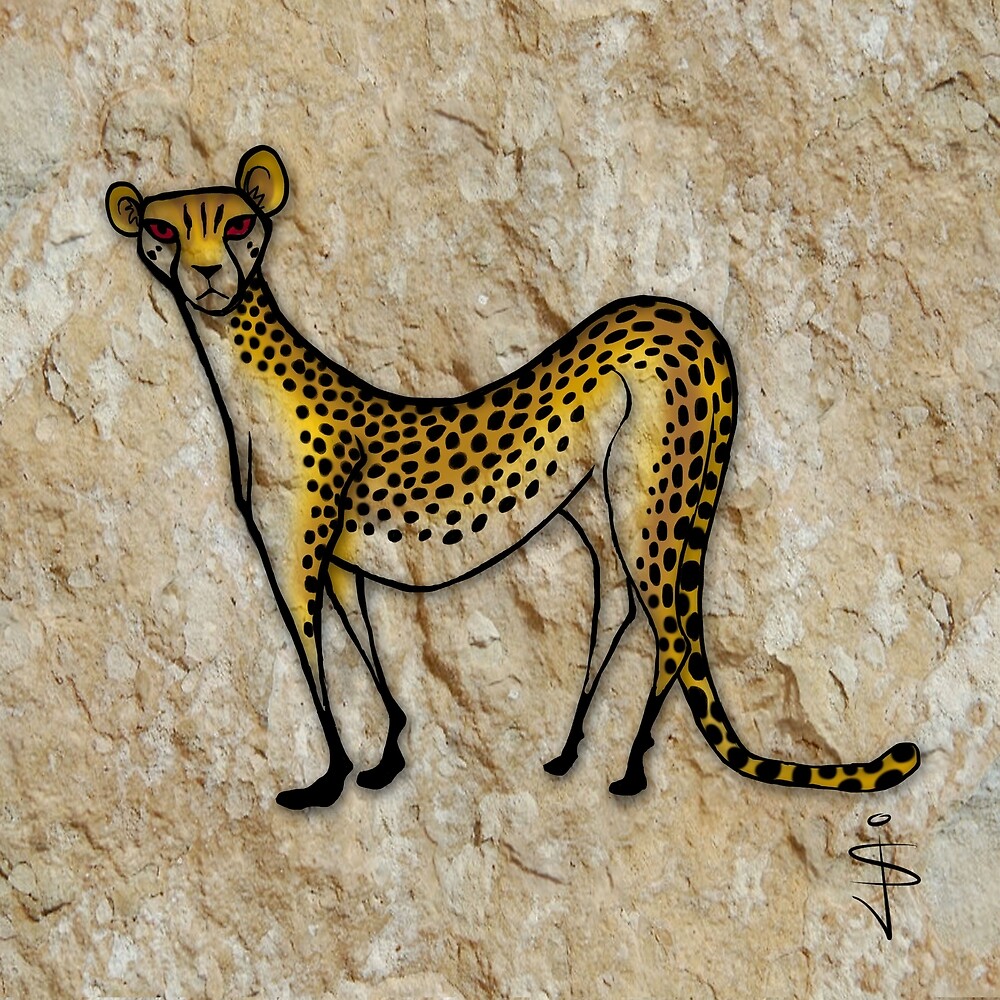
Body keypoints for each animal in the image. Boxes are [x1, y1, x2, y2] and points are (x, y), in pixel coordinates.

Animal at [105, 146, 920, 809]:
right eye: (166, 233)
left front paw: (330, 779)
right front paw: (388, 755)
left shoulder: (297, 560)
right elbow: (364, 650)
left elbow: (314, 666)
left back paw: (629, 770)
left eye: (239, 224)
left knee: (668, 632)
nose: (208, 274)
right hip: (598, 506)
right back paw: (570, 753)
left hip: (651, 499)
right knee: (624, 607)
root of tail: (690, 319)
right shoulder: (338, 563)